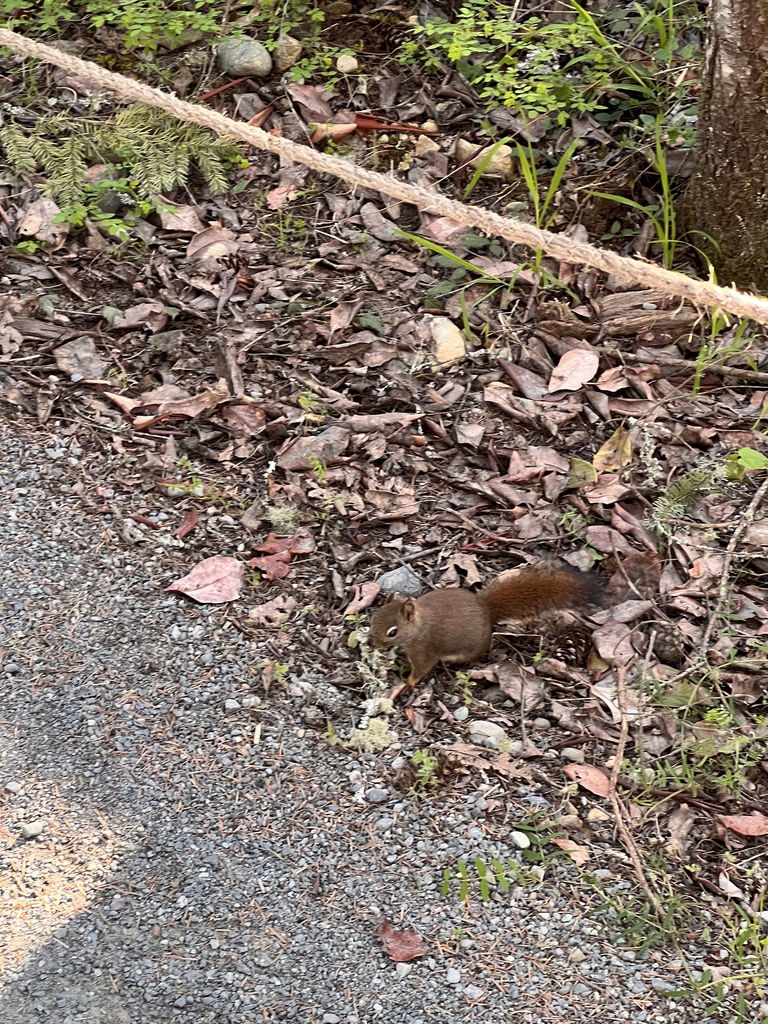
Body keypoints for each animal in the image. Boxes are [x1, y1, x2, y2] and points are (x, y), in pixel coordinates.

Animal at [369, 565, 602, 693]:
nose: (373, 644)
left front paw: (408, 682)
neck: (418, 627)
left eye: (392, 632)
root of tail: (487, 610)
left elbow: (420, 670)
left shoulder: (425, 651)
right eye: (374, 617)